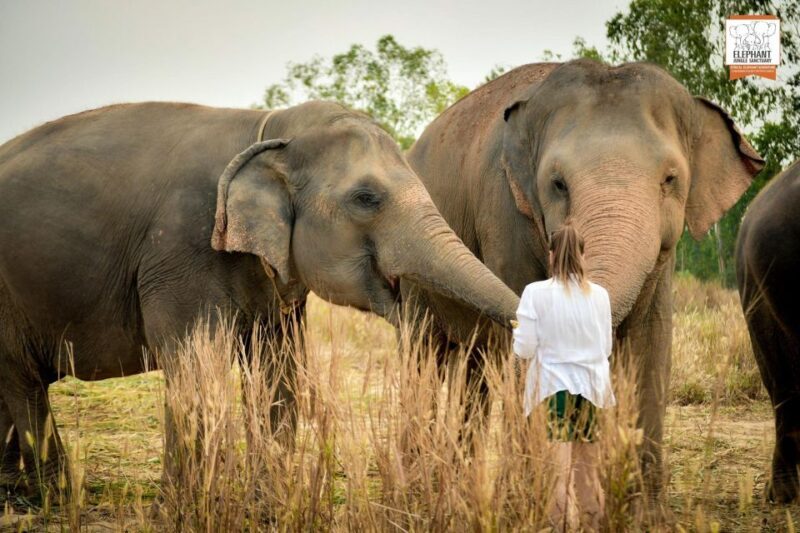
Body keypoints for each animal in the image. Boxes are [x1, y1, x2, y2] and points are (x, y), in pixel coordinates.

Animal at [0, 100, 519, 496]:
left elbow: (278, 373)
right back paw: (56, 497)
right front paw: (188, 503)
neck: (269, 128)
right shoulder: (181, 249)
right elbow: (195, 370)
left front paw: (266, 500)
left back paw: (18, 494)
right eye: (366, 198)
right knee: (23, 382)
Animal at [403, 59, 764, 494]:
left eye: (670, 179)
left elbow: (651, 338)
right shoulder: (503, 212)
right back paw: (420, 482)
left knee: (475, 368)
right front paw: (530, 494)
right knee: (421, 352)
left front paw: (640, 499)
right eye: (558, 184)